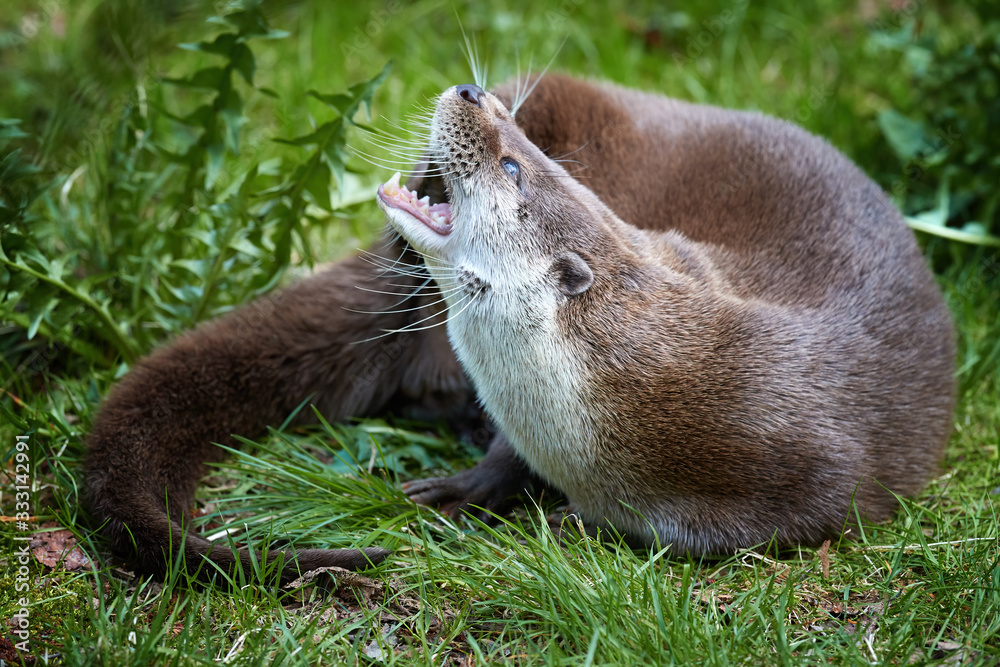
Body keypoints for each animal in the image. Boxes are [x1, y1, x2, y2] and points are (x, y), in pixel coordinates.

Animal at [85, 75, 955, 582]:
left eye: (514, 166)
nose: (475, 91)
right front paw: (468, 486)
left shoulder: (806, 459)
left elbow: (758, 523)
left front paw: (571, 522)